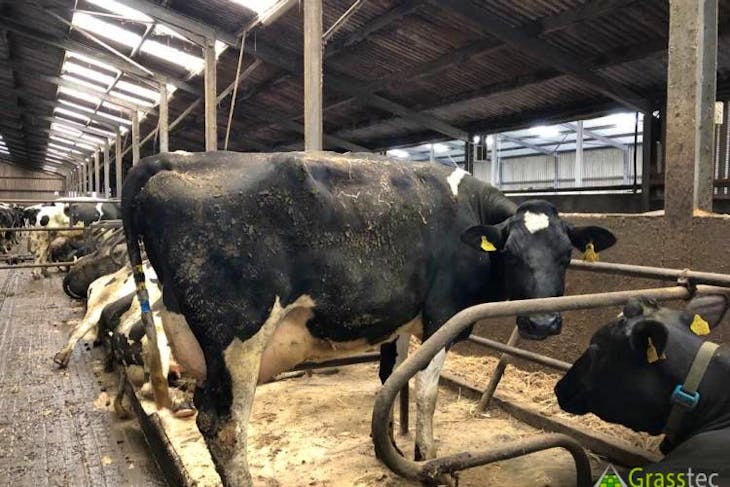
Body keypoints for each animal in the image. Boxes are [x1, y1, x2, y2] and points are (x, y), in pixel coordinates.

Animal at [122, 151, 616, 486]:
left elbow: (389, 378)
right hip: (238, 337)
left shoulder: (400, 319)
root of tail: (172, 158)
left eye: (566, 254)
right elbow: (426, 393)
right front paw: (429, 462)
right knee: (224, 425)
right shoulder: (444, 316)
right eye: (511, 254)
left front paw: (391, 451)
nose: (542, 324)